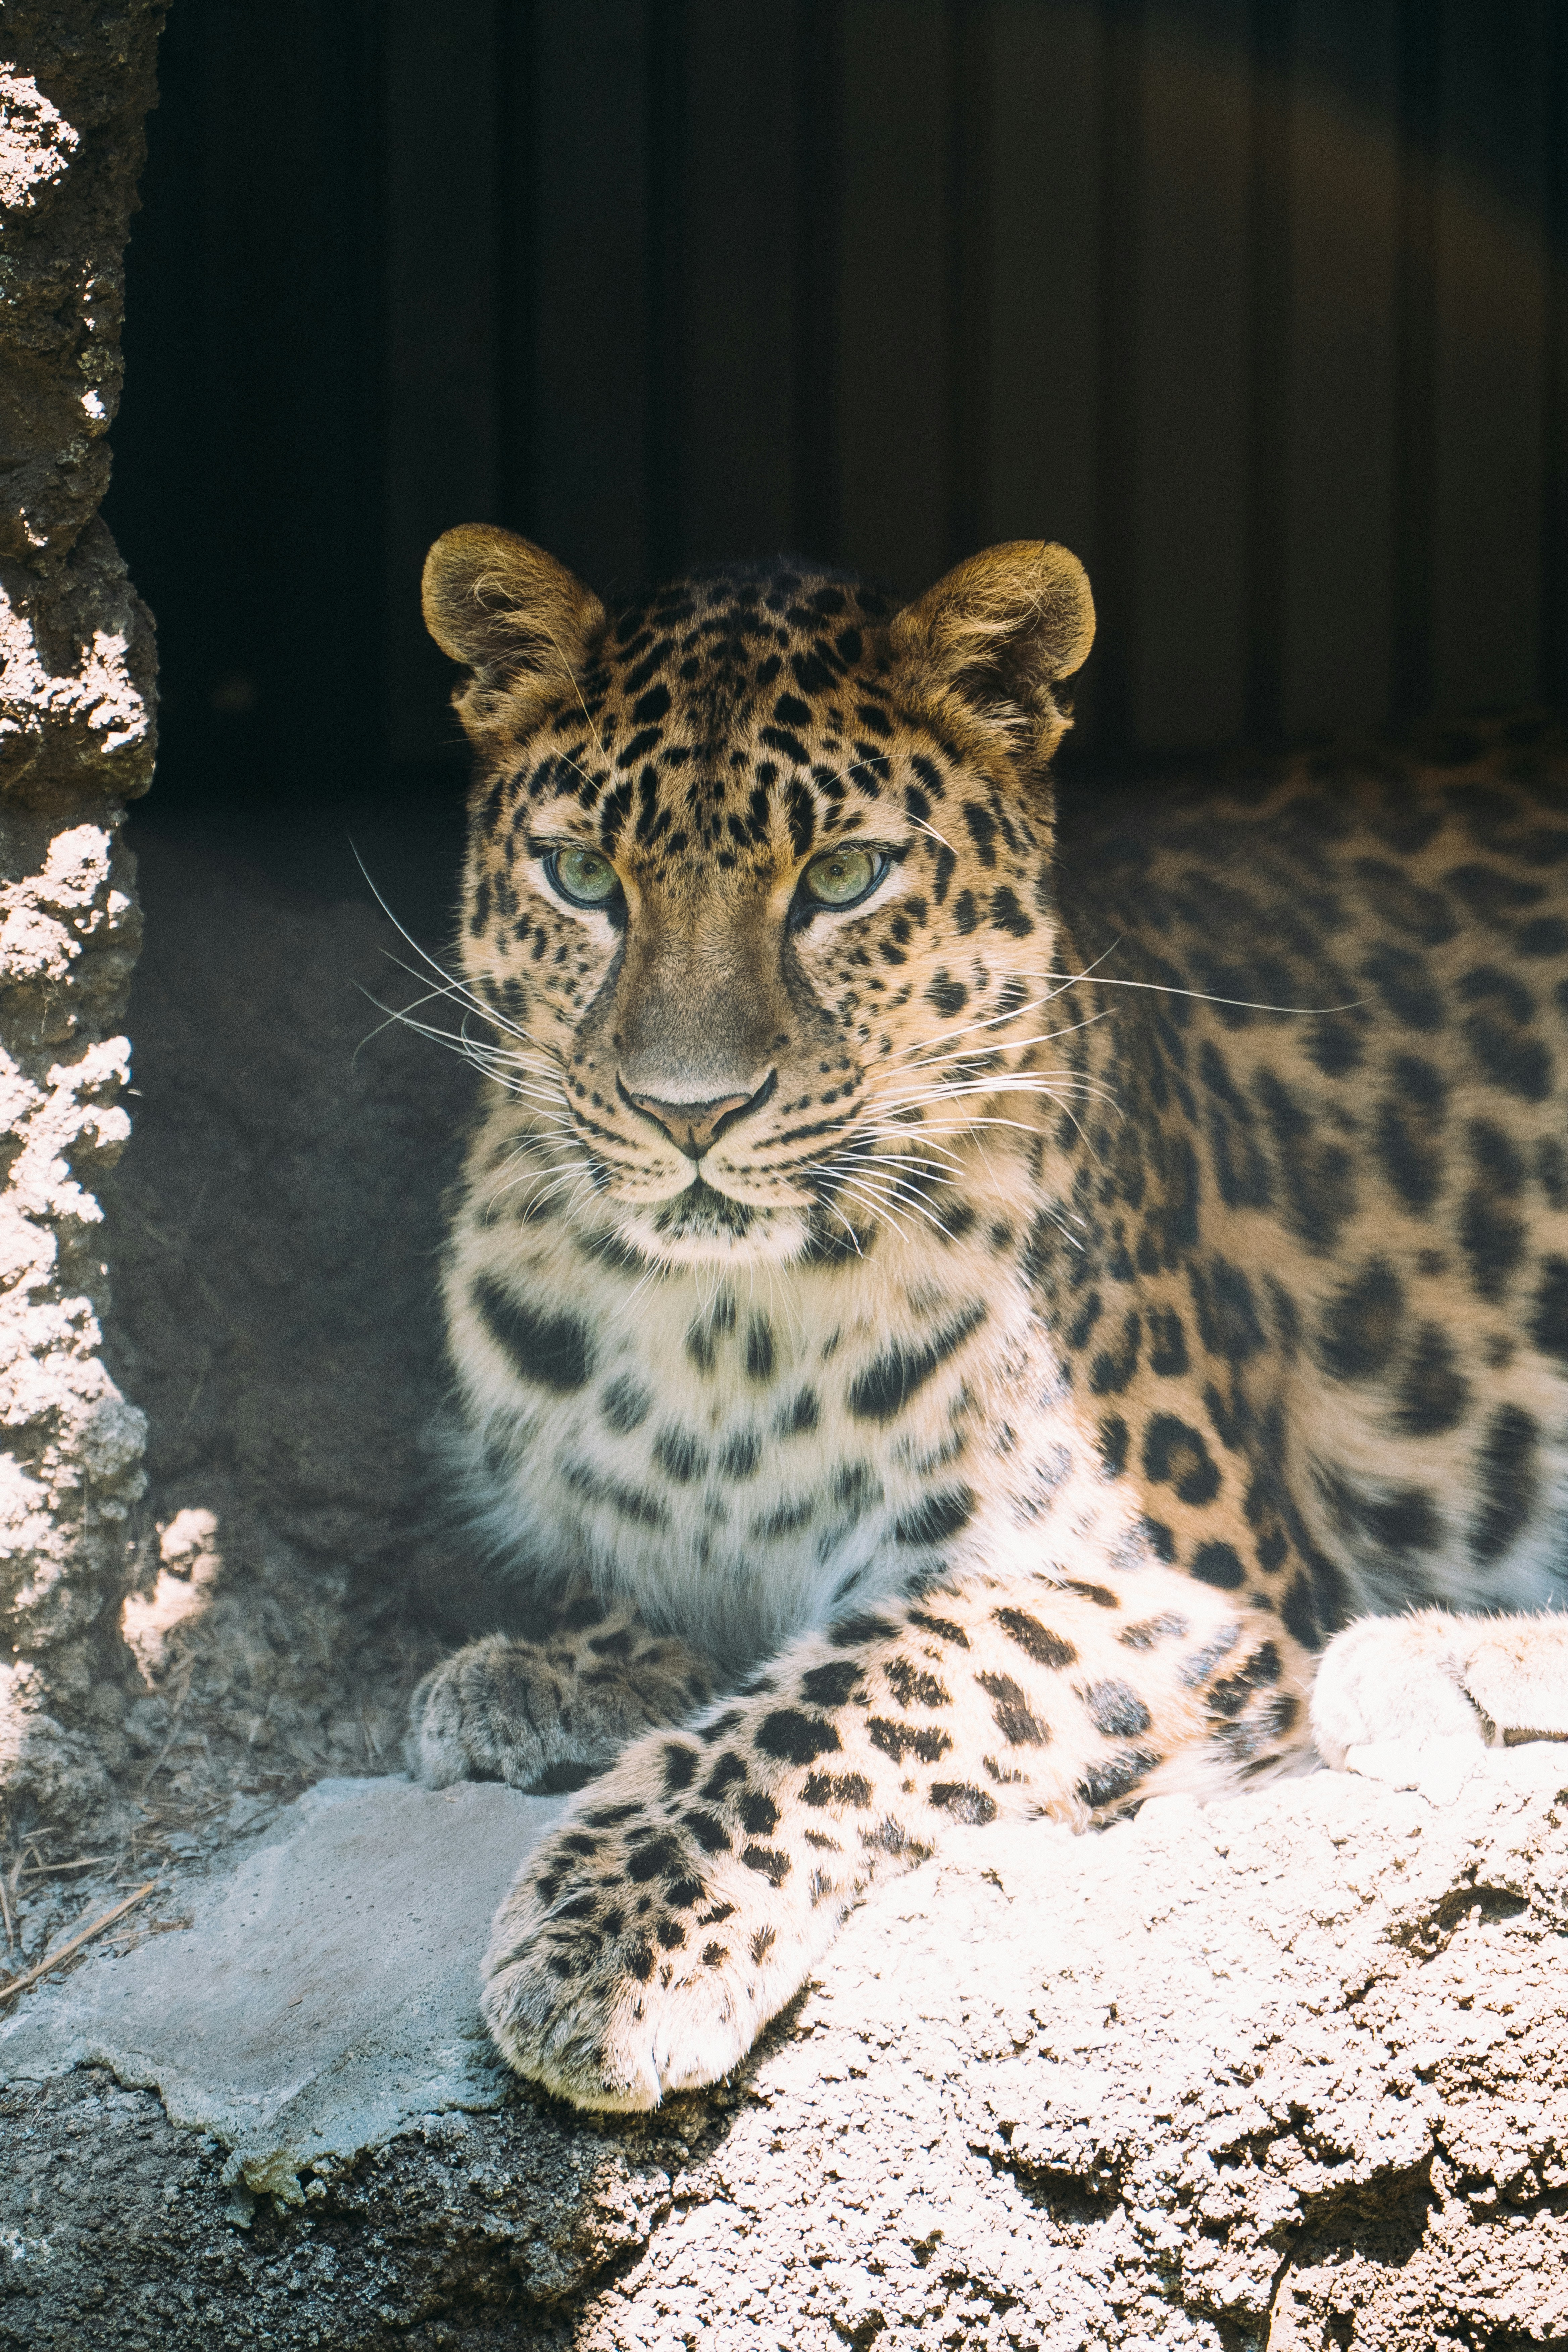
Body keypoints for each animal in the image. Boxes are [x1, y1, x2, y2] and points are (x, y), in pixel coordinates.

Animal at [405, 521, 1568, 2114]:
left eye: (843, 875)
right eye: (582, 875)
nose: (687, 1112)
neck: (712, 1330)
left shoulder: (1183, 1582)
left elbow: (864, 1686)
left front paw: (617, 1936)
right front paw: (546, 1674)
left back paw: (1428, 1666)